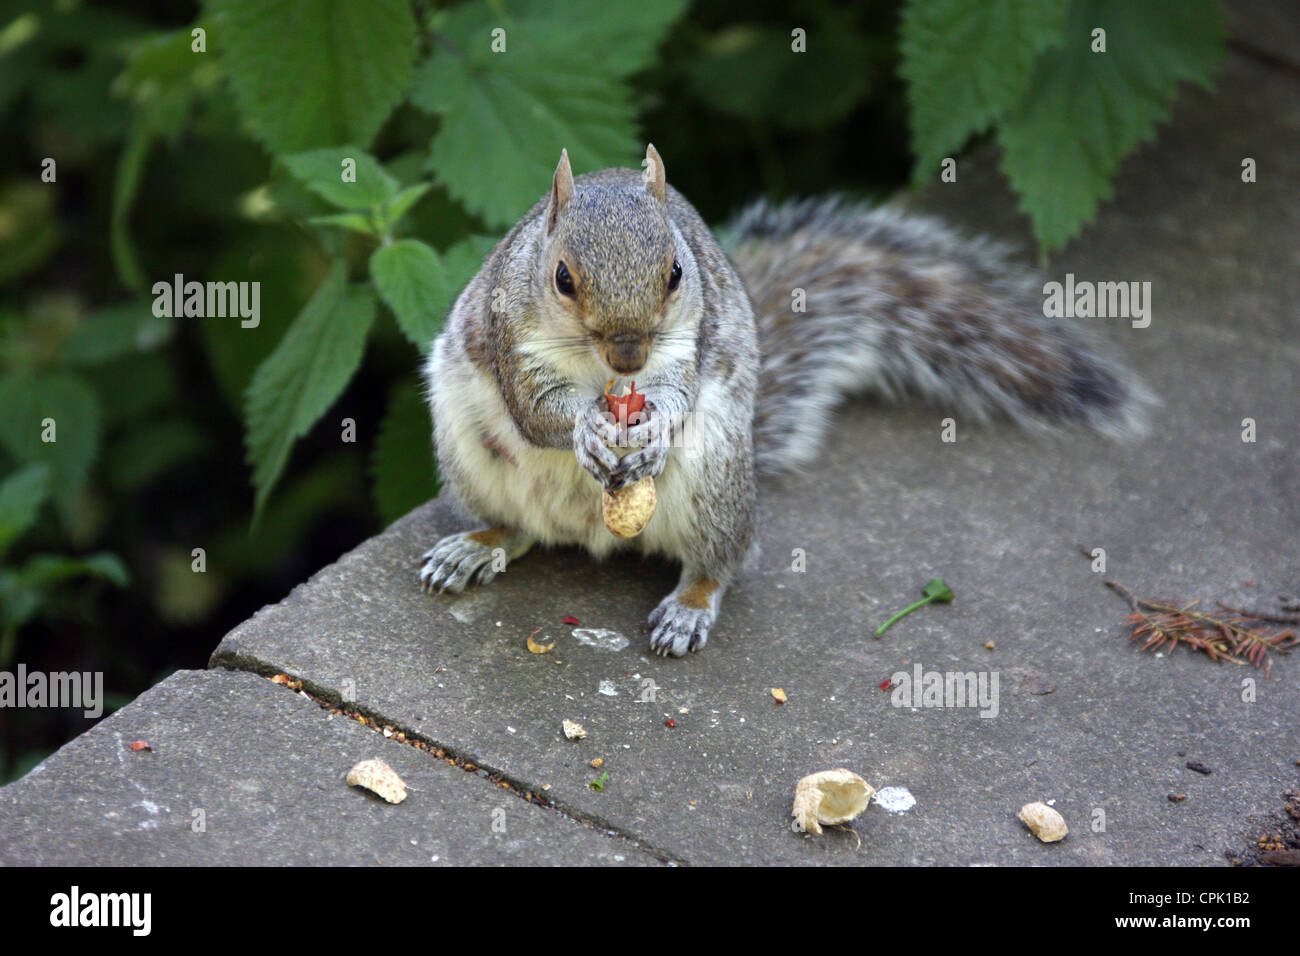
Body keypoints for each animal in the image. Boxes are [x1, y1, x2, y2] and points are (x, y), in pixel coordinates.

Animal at [418, 144, 1153, 657]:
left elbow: (678, 395)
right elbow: (536, 410)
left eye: (677, 273)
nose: (629, 359)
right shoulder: (509, 336)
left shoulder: (688, 344)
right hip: (466, 446)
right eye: (562, 278)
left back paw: (690, 604)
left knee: (724, 559)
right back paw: (476, 546)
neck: (603, 376)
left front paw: (651, 432)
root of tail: (593, 535)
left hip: (715, 477)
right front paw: (586, 432)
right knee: (518, 528)